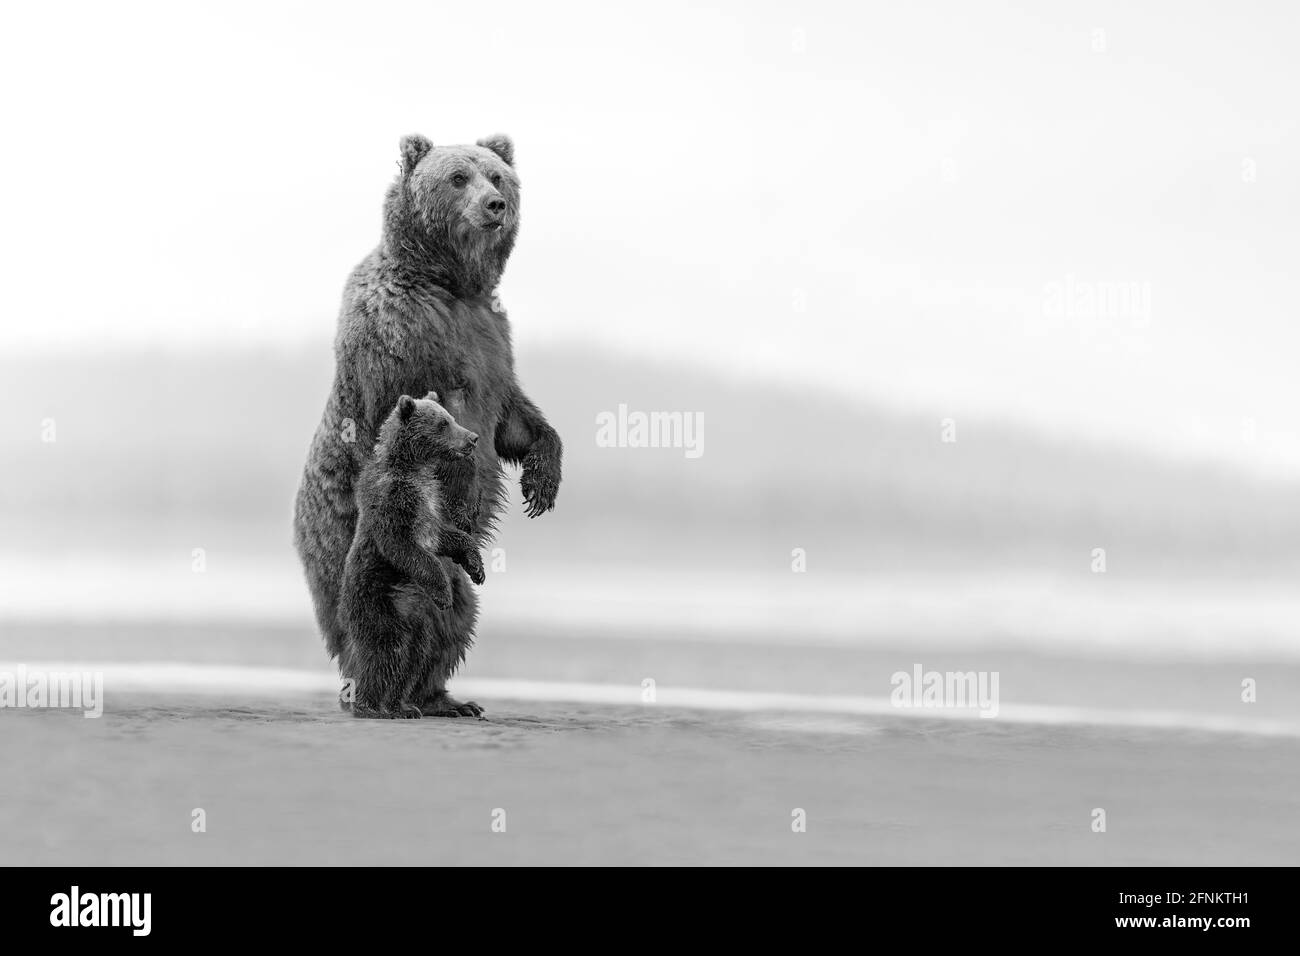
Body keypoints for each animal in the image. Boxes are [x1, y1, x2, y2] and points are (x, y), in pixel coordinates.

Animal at [339, 392, 487, 719]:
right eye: (443, 423)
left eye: (450, 418)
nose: (472, 438)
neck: (413, 468)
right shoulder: (392, 502)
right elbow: (405, 548)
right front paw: (444, 592)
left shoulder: (432, 503)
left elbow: (448, 538)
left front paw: (477, 568)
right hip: (380, 603)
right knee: (387, 651)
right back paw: (372, 706)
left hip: (421, 621)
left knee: (417, 657)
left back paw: (407, 705)